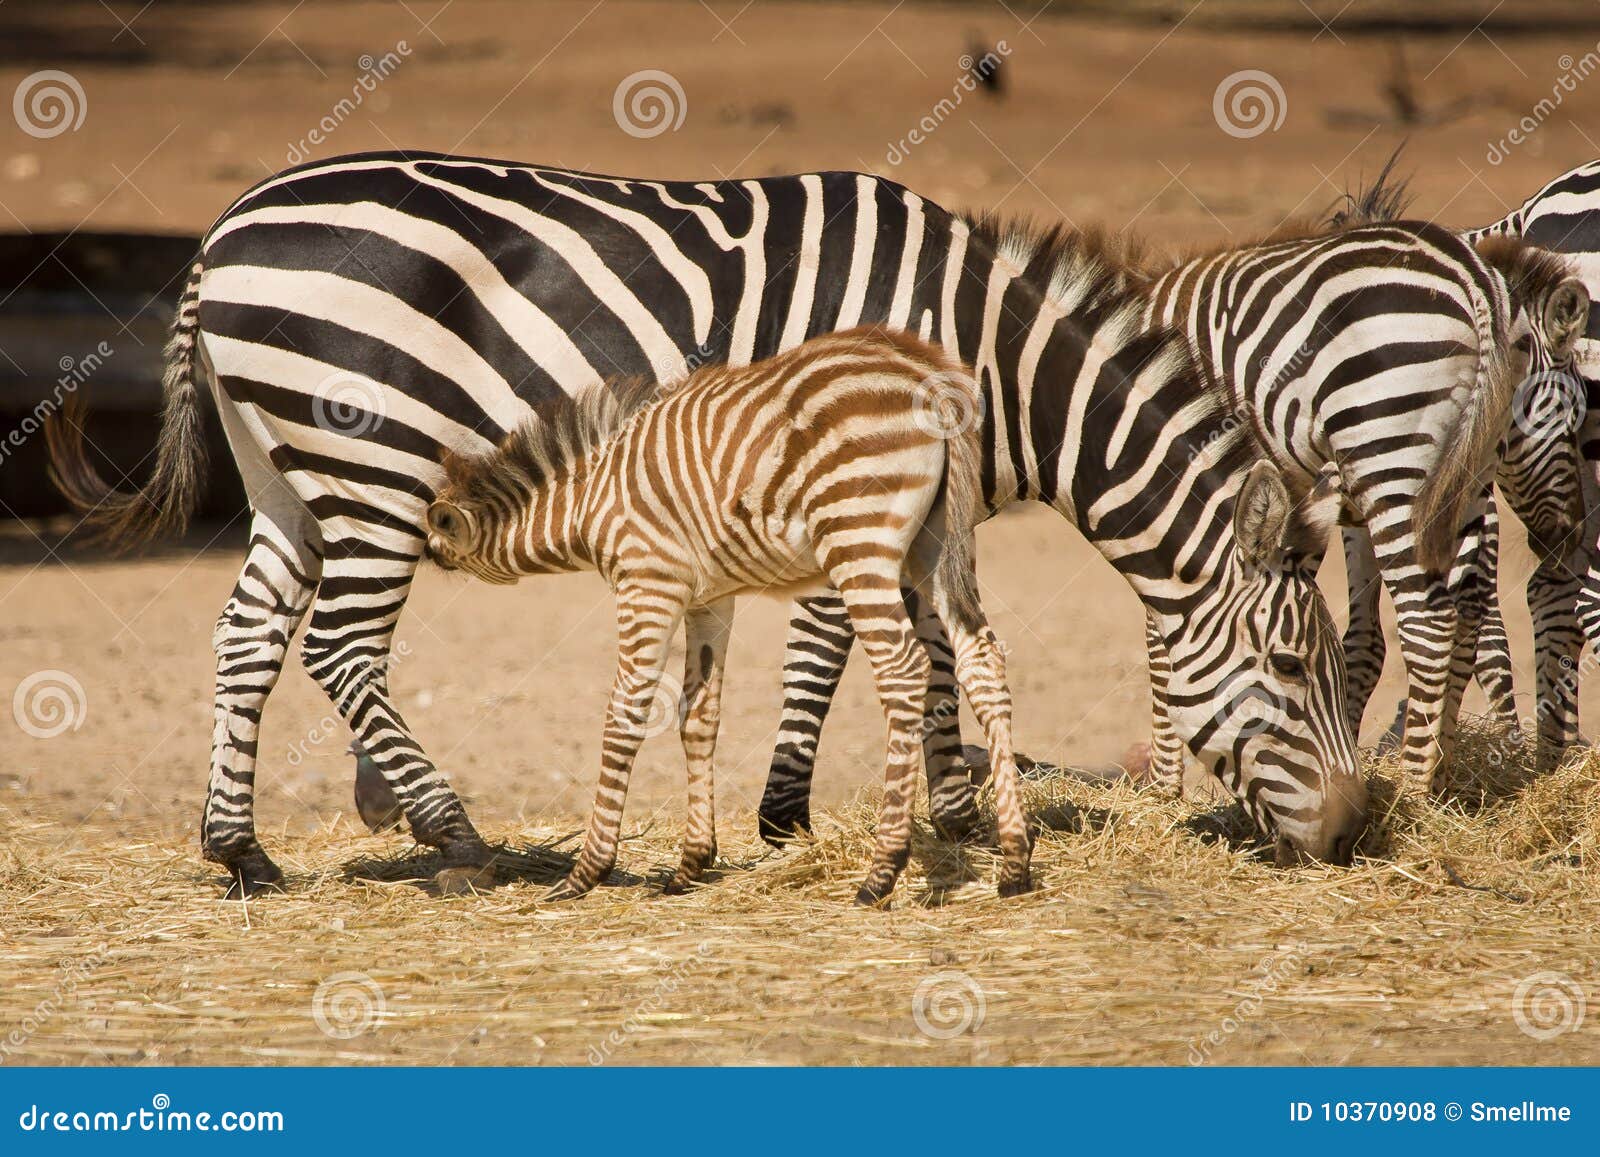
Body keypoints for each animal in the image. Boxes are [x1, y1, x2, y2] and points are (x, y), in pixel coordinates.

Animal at [424, 327, 1030, 905]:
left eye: (433, 541)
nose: (422, 555)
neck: (589, 498)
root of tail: (928, 372)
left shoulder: (648, 582)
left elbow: (625, 712)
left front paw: (587, 872)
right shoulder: (709, 598)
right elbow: (699, 715)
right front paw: (691, 863)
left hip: (859, 540)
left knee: (904, 669)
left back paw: (882, 872)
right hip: (936, 545)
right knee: (981, 656)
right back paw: (1015, 864)